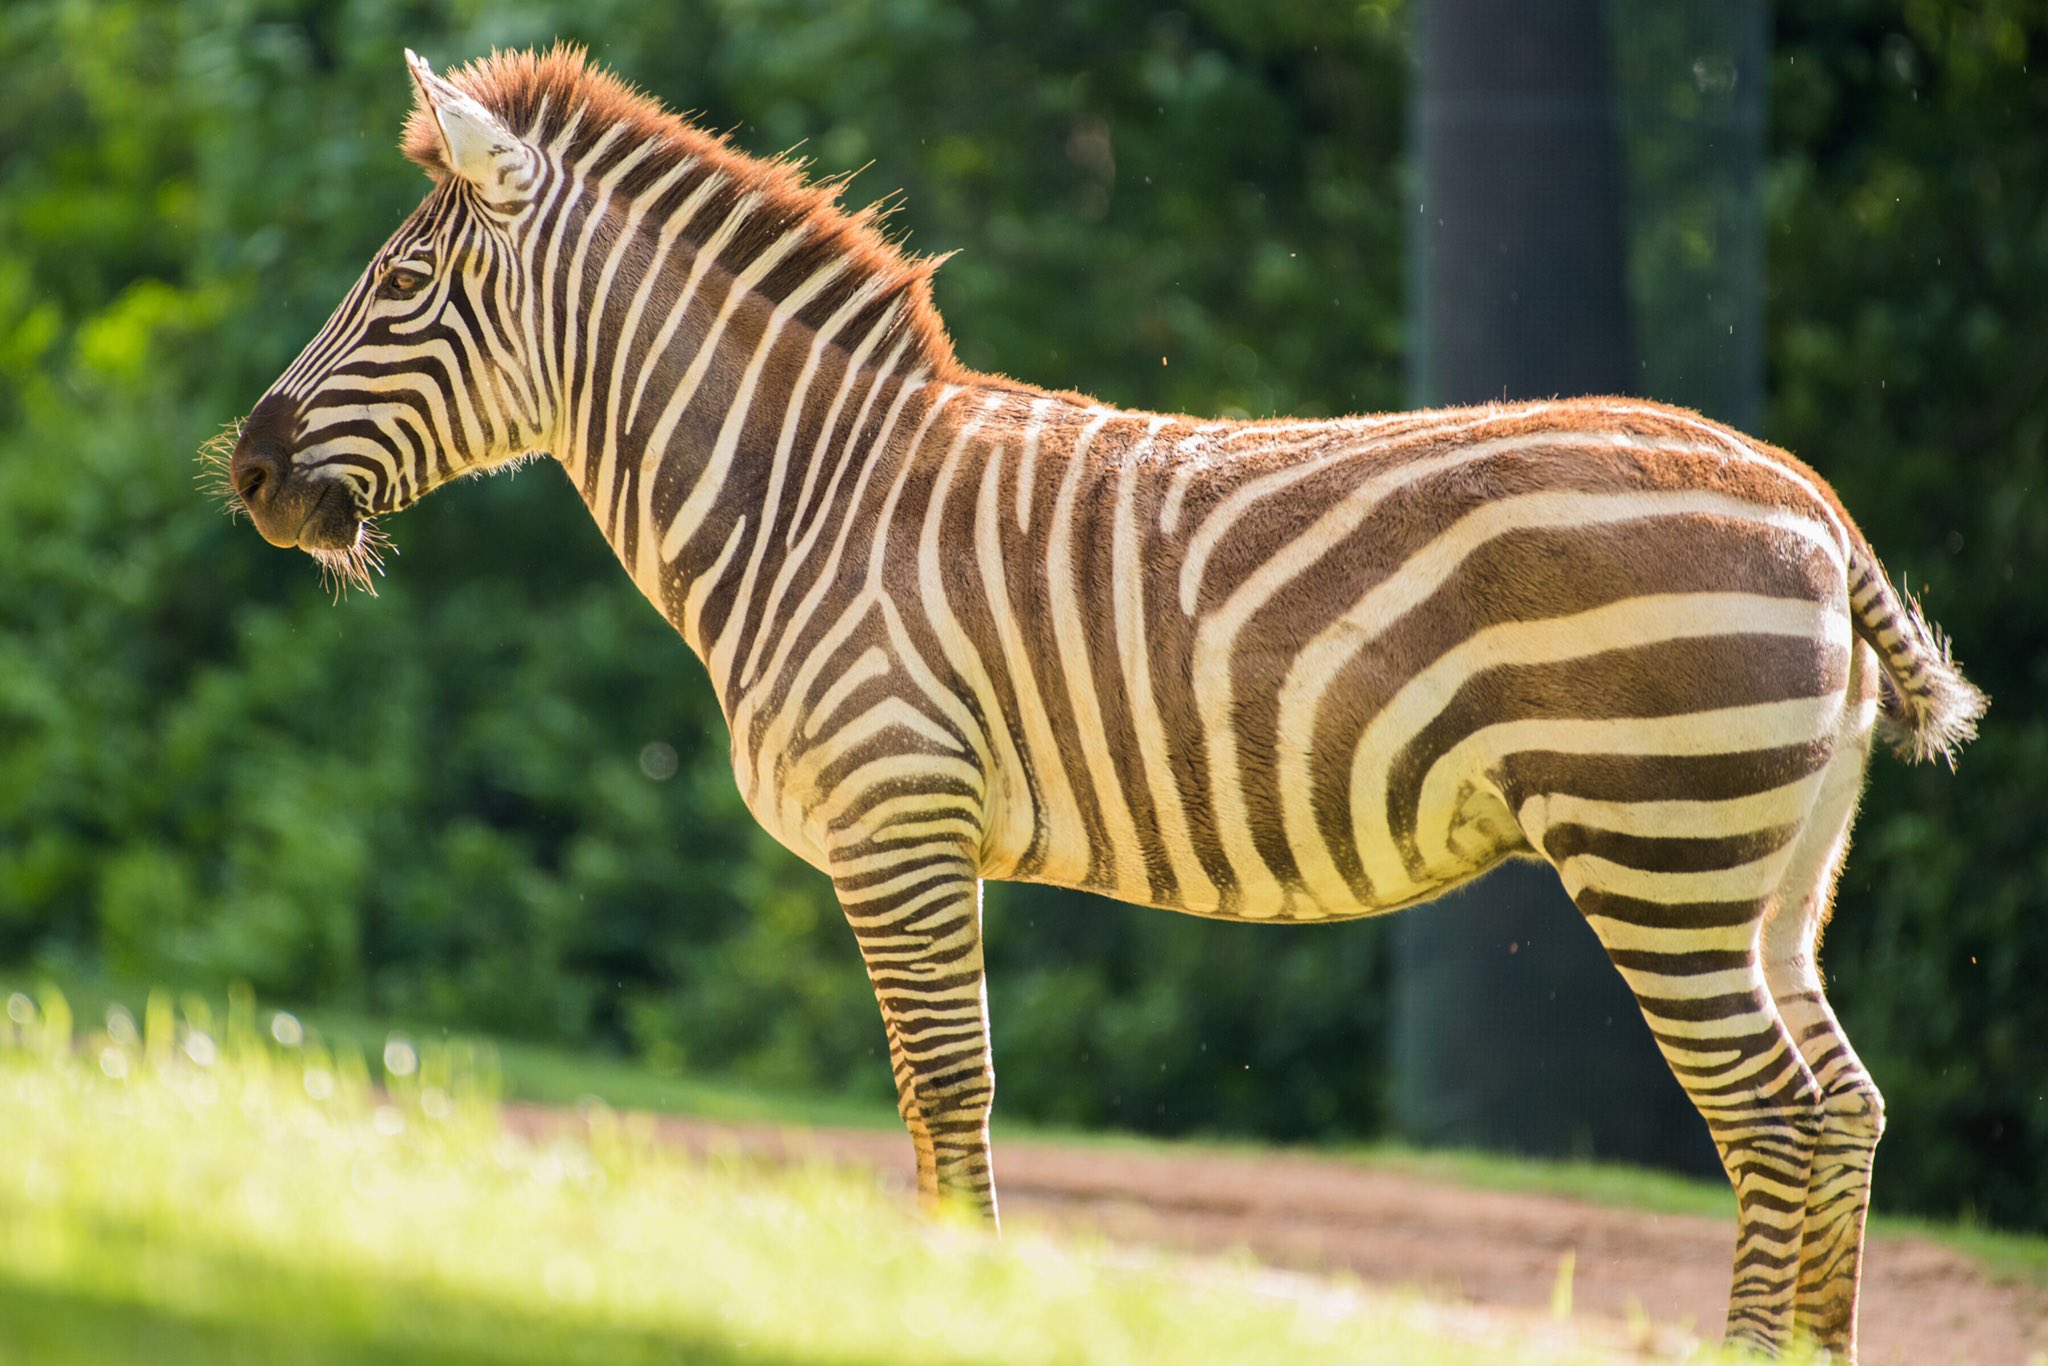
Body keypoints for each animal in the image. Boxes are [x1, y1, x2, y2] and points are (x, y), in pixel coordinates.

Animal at [215, 47, 1982, 1361]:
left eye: (400, 283)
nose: (244, 473)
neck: (803, 501)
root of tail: (1812, 500)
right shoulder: (914, 835)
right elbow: (938, 1102)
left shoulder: (900, 812)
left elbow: (948, 1091)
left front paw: (955, 1310)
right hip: (1773, 874)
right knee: (1844, 1113)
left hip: (1657, 844)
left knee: (1774, 1123)